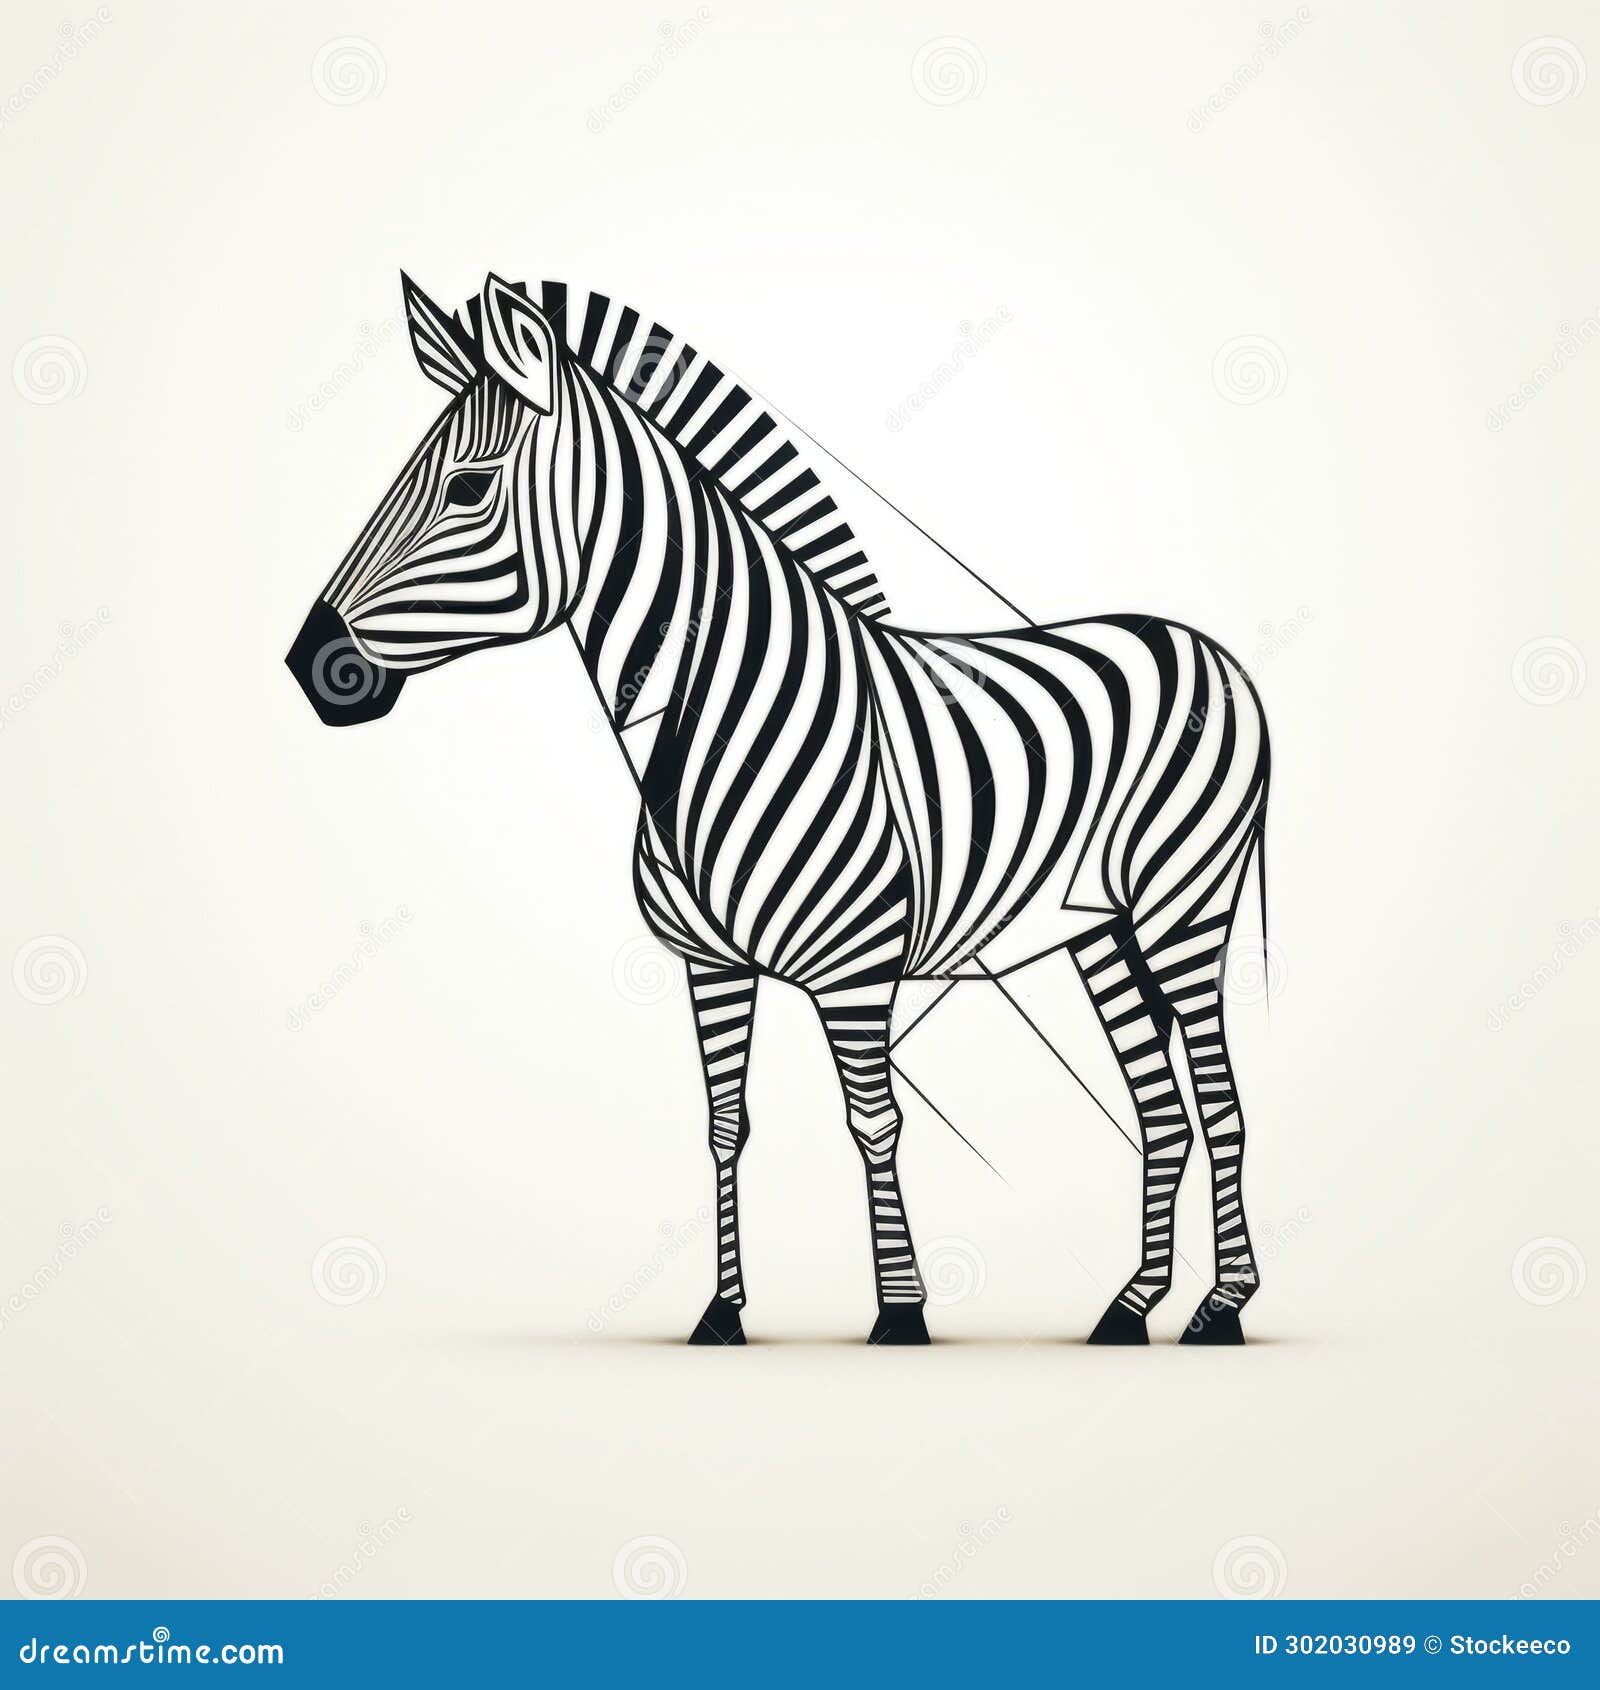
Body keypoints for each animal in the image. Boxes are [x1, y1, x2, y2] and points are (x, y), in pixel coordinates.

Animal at [287, 273, 1272, 1348]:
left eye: (467, 489)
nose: (309, 667)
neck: (711, 719)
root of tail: (1202, 645)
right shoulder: (710, 964)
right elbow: (726, 1123)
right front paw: (721, 1308)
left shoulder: (857, 971)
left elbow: (875, 1122)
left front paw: (900, 1312)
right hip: (1097, 928)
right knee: (1164, 1110)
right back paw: (1131, 1307)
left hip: (1185, 904)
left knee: (1221, 1102)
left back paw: (1220, 1308)